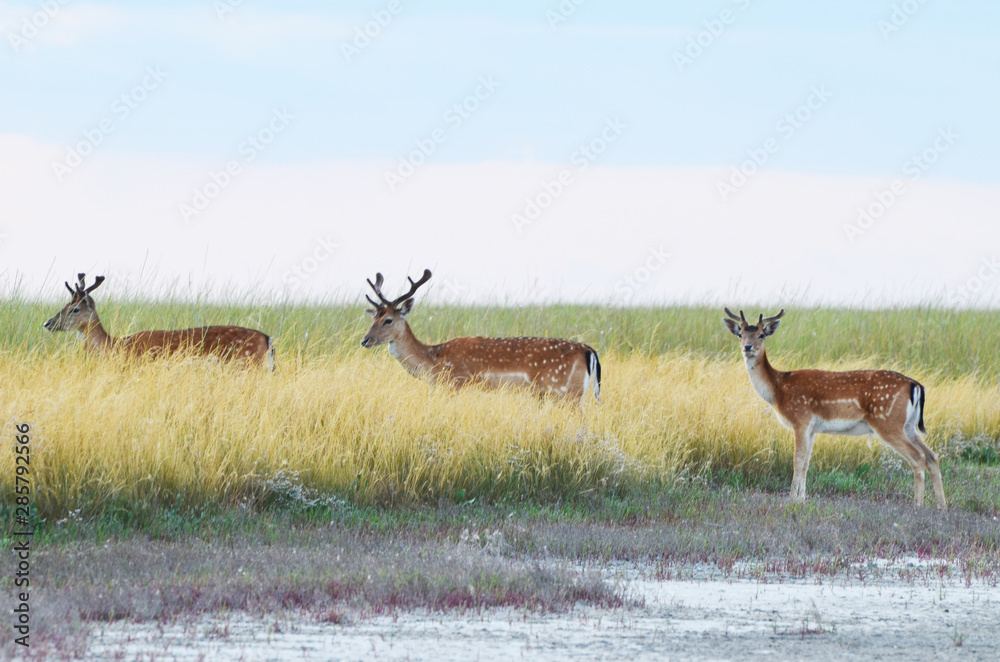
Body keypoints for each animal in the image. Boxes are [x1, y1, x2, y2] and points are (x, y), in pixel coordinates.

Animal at [44, 273, 275, 370]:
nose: (47, 323)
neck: (116, 346)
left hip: (246, 367)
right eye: (64, 305)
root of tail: (268, 340)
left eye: (74, 309)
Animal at [360, 269, 601, 404]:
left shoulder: (456, 383)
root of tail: (589, 351)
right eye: (372, 319)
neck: (433, 362)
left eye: (388, 320)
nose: (364, 340)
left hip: (566, 391)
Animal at [723, 308, 945, 510]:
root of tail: (916, 385)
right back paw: (941, 506)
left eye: (761, 334)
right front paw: (802, 499)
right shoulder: (812, 428)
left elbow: (797, 461)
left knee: (918, 457)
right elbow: (806, 463)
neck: (778, 389)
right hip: (908, 425)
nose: (748, 347)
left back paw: (918, 505)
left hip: (888, 422)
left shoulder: (800, 419)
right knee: (932, 456)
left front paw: (792, 500)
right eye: (740, 334)